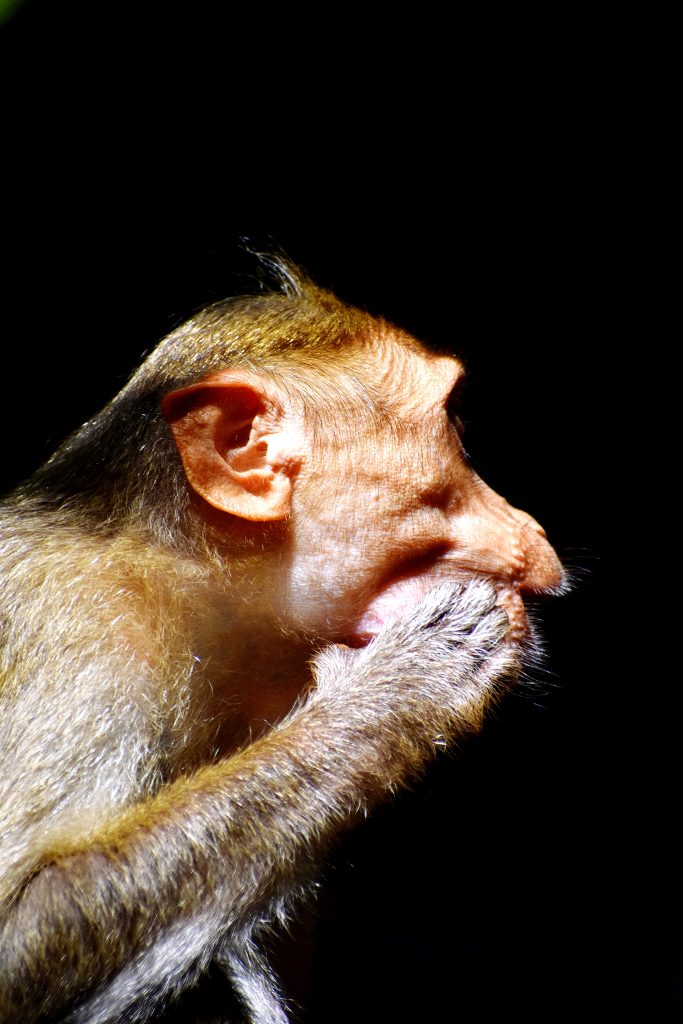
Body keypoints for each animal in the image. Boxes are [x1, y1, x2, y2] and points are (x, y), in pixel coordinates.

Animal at [0, 260, 564, 1024]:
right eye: (454, 426)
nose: (533, 529)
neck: (186, 572)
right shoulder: (84, 634)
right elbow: (24, 926)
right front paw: (402, 688)